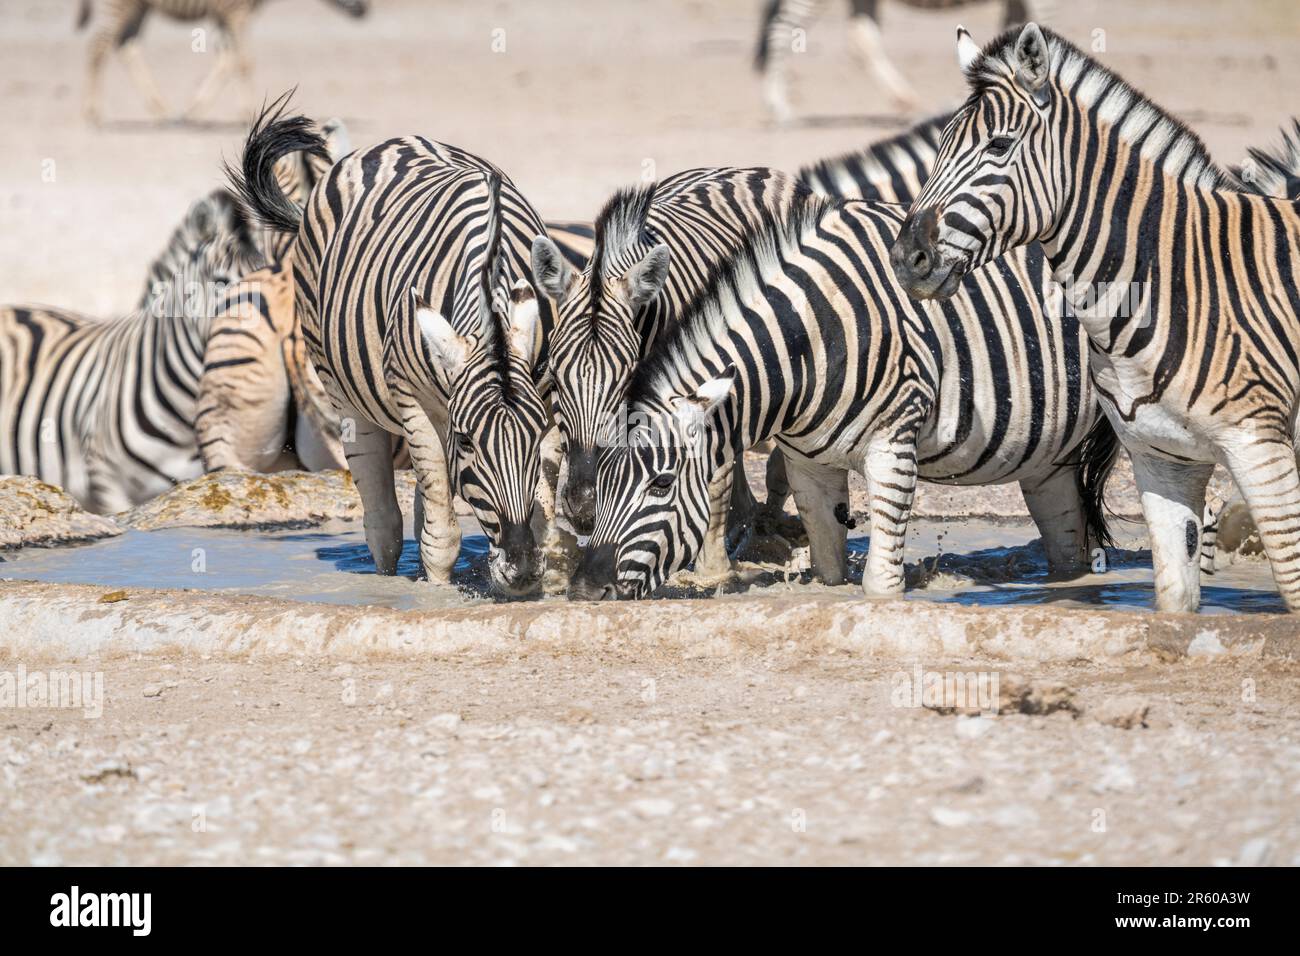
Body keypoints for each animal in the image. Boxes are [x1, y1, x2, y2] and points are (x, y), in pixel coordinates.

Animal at [79, 0, 368, 124]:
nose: (365, 11)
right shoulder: (236, 11)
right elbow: (244, 61)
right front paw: (248, 113)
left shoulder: (225, 15)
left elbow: (226, 59)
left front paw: (195, 108)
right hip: (120, 5)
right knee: (97, 47)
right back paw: (93, 112)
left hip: (139, 7)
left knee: (126, 46)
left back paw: (162, 109)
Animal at [229, 102, 564, 596]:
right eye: (468, 440)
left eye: (535, 436)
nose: (520, 570)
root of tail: (387, 144)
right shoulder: (414, 400)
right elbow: (442, 533)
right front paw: (437, 595)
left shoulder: (548, 399)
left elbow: (542, 510)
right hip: (344, 391)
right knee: (384, 520)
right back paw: (388, 576)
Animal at [568, 172, 1115, 600]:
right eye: (603, 481)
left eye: (661, 484)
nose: (586, 590)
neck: (810, 342)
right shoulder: (808, 465)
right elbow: (828, 573)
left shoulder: (894, 447)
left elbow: (880, 586)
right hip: (1052, 456)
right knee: (1067, 543)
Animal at [889, 24, 1300, 613]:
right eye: (939, 147)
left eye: (998, 146)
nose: (906, 258)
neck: (1173, 282)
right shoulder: (1163, 457)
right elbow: (1175, 599)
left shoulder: (1261, 449)